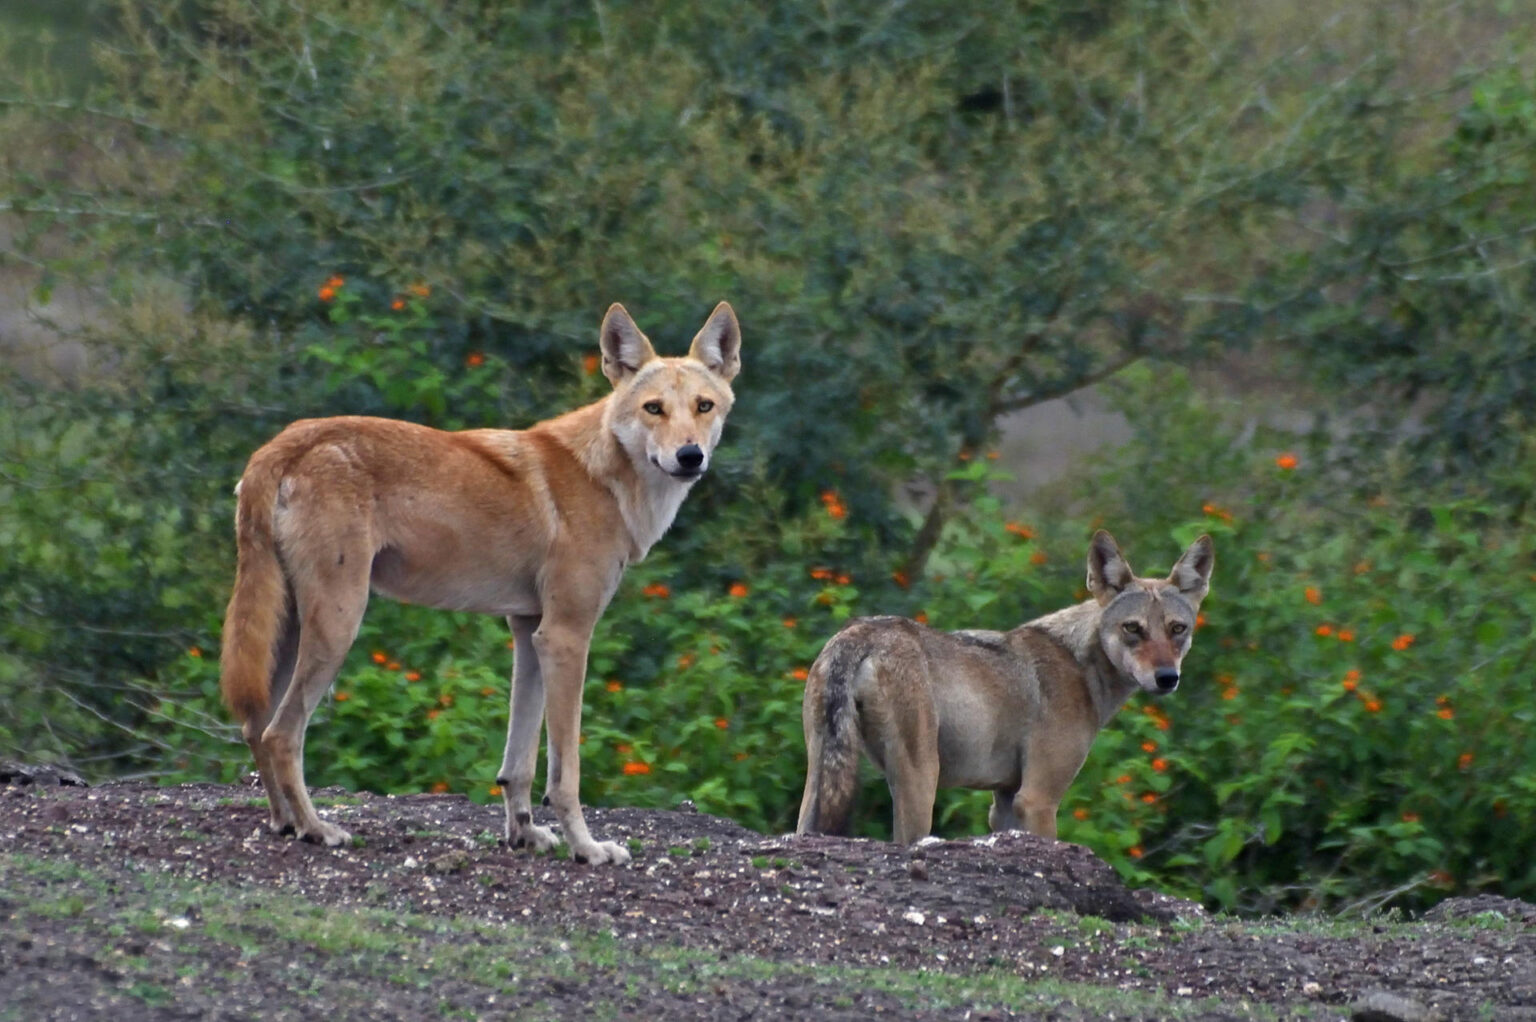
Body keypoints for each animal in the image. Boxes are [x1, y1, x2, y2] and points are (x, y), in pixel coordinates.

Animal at [219, 302, 741, 865]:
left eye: (704, 406)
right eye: (653, 409)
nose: (690, 456)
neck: (605, 478)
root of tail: (282, 443)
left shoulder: (530, 634)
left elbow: (519, 764)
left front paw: (524, 836)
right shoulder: (567, 637)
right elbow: (565, 774)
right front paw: (587, 848)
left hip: (292, 629)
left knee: (254, 726)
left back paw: (284, 824)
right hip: (338, 627)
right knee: (282, 733)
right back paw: (317, 829)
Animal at [796, 529, 1213, 845]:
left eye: (1177, 629)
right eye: (1133, 629)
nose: (1166, 677)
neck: (1081, 667)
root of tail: (859, 633)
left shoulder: (1005, 802)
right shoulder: (1038, 799)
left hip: (821, 778)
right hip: (920, 783)